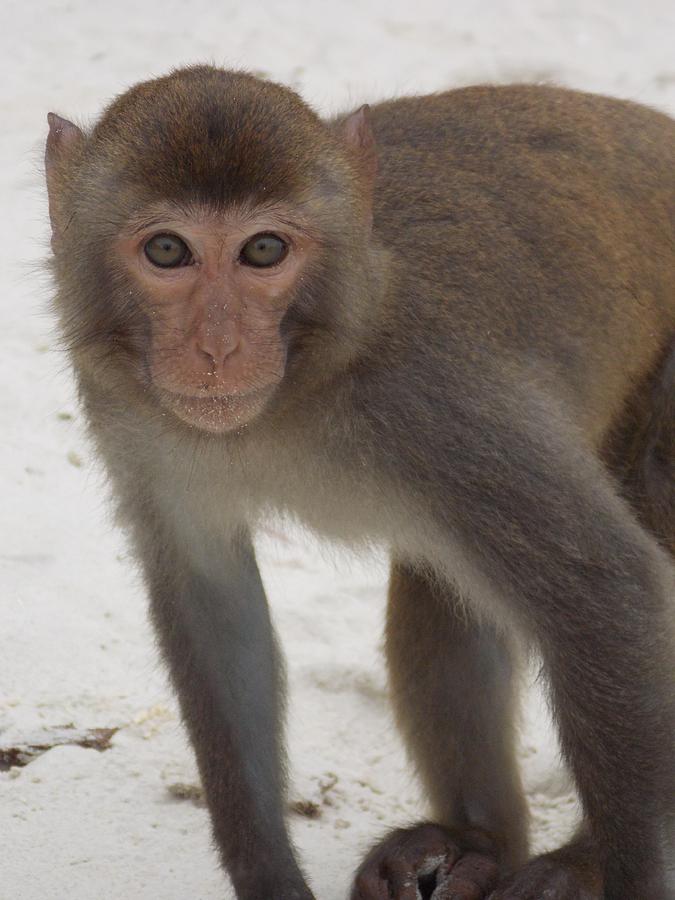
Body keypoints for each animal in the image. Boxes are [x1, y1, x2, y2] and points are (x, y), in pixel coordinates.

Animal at [44, 66, 675, 900]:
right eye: (168, 250)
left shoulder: (434, 393)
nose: (217, 349)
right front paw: (269, 877)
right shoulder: (130, 413)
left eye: (263, 250)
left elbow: (606, 587)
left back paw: (574, 863)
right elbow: (214, 598)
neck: (299, 385)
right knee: (441, 581)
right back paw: (477, 842)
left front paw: (618, 871)